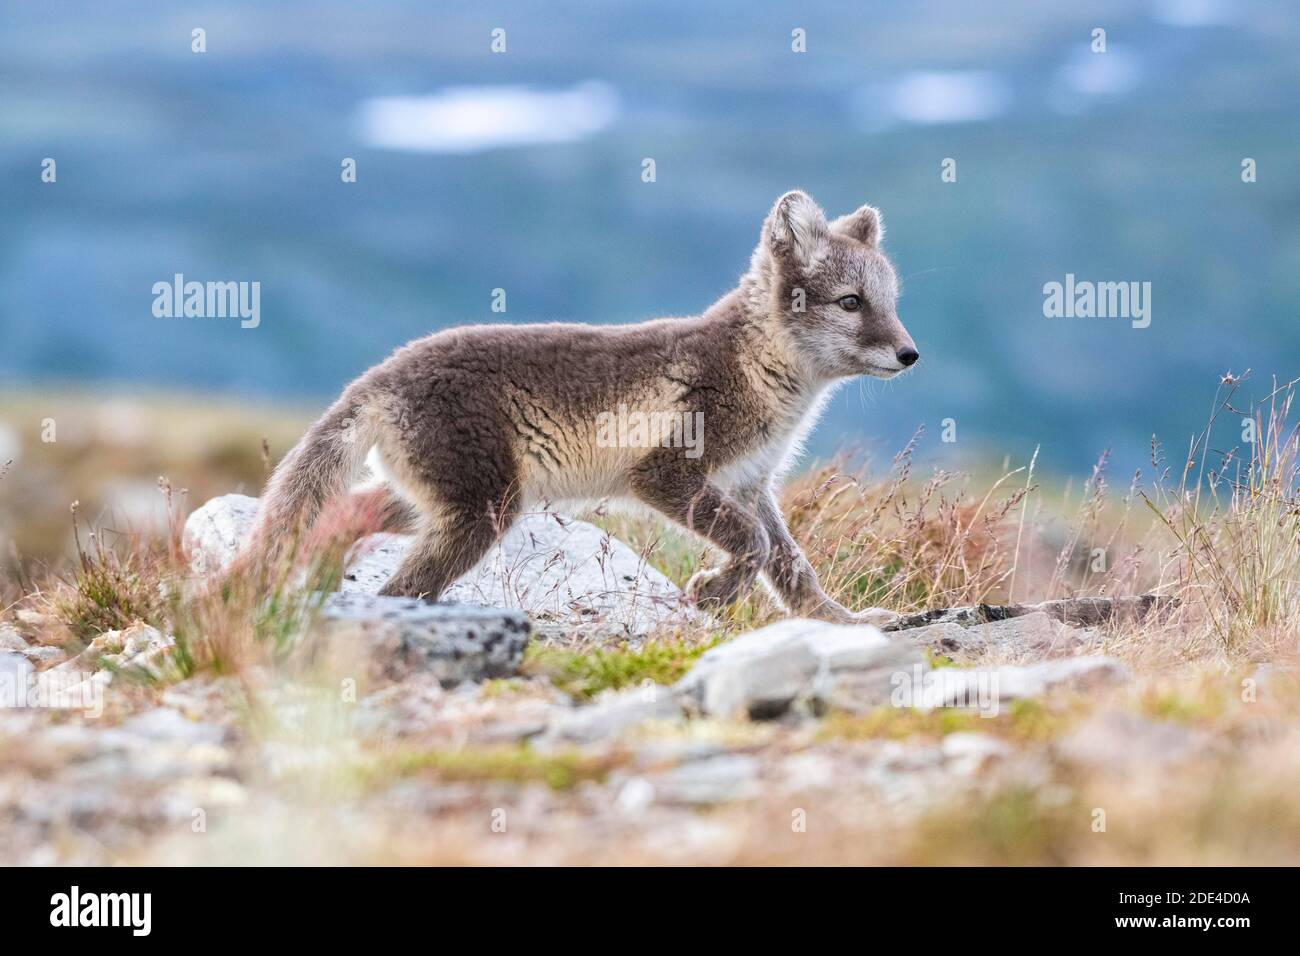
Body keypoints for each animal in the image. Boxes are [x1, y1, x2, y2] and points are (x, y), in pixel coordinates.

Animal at [246, 190, 919, 626]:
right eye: (851, 302)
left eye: (890, 301)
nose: (911, 354)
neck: (759, 368)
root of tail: (378, 376)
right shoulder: (665, 474)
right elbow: (752, 546)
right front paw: (711, 594)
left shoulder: (752, 484)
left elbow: (790, 564)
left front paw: (842, 620)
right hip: (483, 511)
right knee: (397, 588)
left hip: (422, 501)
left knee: (344, 523)